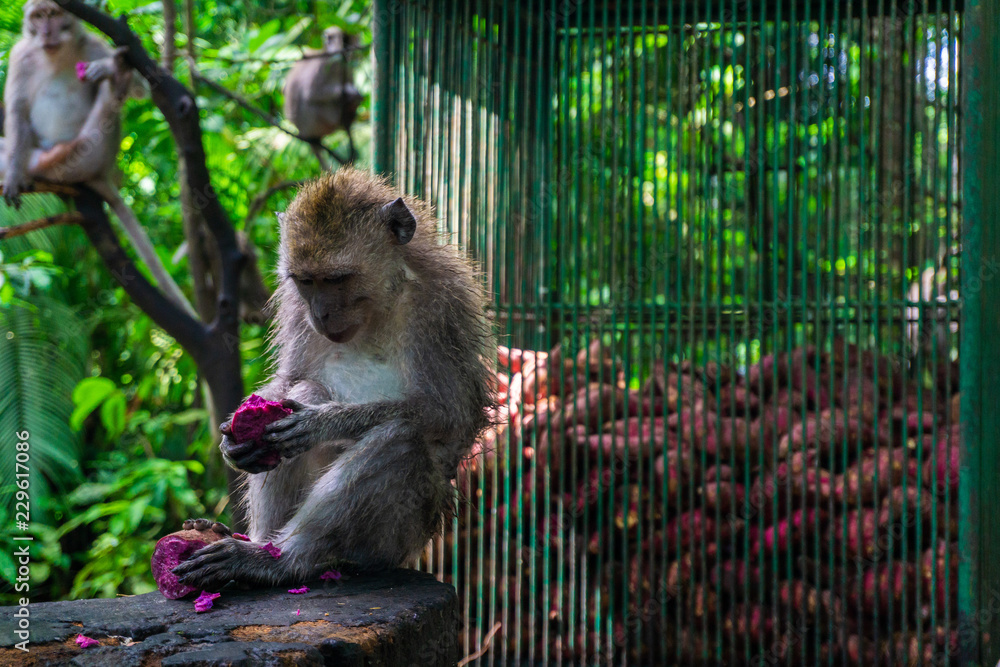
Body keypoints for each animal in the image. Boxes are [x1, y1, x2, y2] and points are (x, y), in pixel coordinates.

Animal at [1, 0, 194, 315]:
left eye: (53, 14)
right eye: (38, 16)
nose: (46, 32)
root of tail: (99, 173)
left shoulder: (93, 44)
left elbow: (141, 89)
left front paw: (107, 67)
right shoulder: (21, 56)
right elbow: (17, 112)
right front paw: (15, 176)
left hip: (86, 155)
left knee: (110, 102)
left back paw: (117, 75)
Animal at [171, 168, 495, 588]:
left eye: (338, 279)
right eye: (307, 282)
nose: (321, 315)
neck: (383, 300)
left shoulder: (441, 307)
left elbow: (449, 412)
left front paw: (324, 423)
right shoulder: (296, 306)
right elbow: (292, 377)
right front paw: (233, 440)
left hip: (399, 537)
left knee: (402, 439)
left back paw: (283, 559)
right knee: (306, 389)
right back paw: (257, 542)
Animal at [283, 27, 363, 168]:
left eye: (348, 39)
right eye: (342, 39)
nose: (328, 40)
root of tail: (304, 133)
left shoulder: (347, 67)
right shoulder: (327, 64)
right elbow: (311, 93)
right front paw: (349, 92)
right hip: (320, 121)